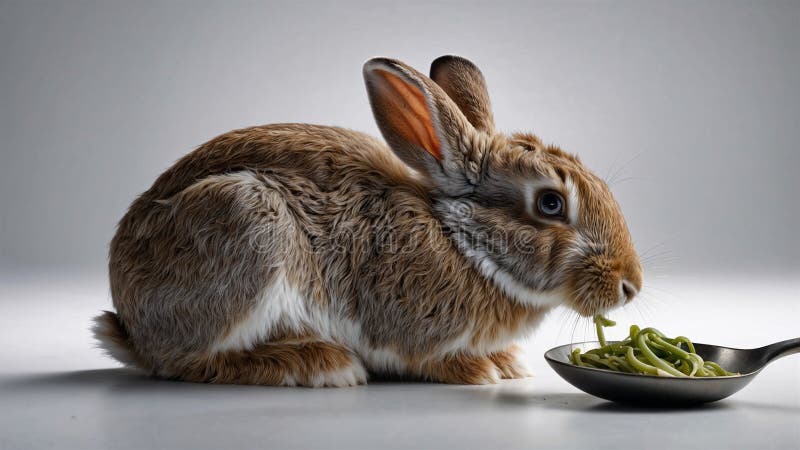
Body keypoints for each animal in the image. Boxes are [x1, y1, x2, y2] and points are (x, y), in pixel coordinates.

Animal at [93, 55, 642, 387]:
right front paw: (480, 370)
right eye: (550, 204)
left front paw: (506, 364)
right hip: (247, 225)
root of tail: (131, 326)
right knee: (189, 362)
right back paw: (320, 364)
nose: (630, 285)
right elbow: (429, 357)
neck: (465, 242)